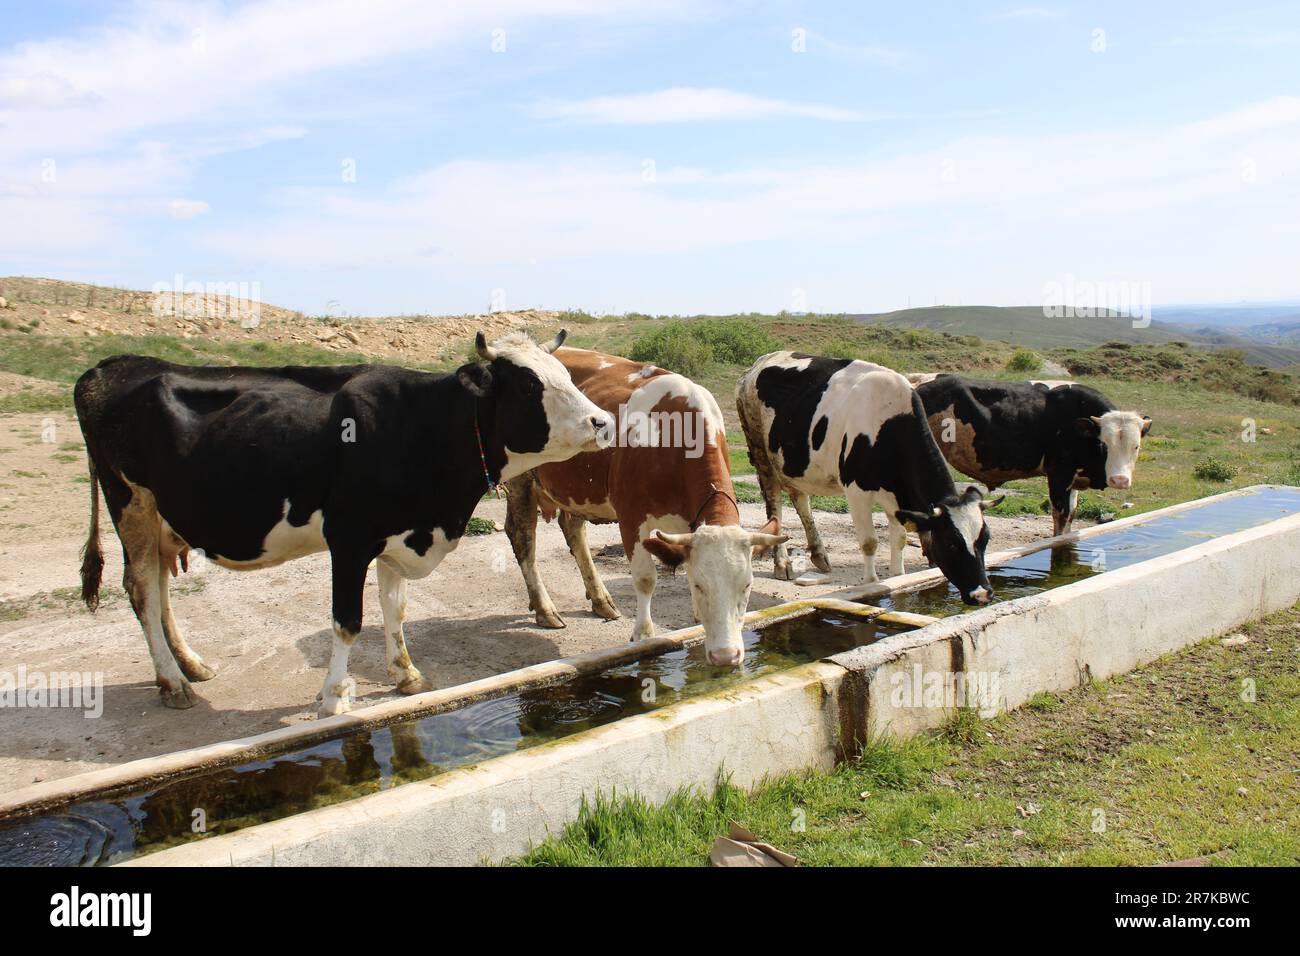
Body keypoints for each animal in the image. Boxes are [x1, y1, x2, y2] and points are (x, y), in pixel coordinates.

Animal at [73, 330, 615, 716]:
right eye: (529, 384)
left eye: (567, 374)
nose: (603, 422)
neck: (424, 426)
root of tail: (110, 366)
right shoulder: (350, 539)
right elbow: (348, 622)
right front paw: (335, 697)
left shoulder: (401, 533)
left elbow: (395, 610)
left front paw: (406, 674)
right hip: (130, 502)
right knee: (142, 589)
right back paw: (172, 681)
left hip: (161, 516)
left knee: (159, 585)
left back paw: (190, 665)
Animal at [504, 347, 786, 666]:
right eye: (701, 585)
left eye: (747, 586)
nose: (727, 656)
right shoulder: (631, 516)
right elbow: (645, 579)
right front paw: (643, 635)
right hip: (520, 478)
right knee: (523, 538)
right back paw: (545, 609)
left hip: (576, 489)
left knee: (573, 530)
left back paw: (600, 600)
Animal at [736, 352, 998, 605]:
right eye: (952, 543)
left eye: (985, 540)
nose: (982, 594)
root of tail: (762, 361)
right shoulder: (857, 490)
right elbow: (870, 542)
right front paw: (871, 584)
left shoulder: (896, 496)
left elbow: (900, 539)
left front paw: (898, 576)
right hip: (761, 452)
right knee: (775, 502)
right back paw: (782, 563)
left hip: (792, 462)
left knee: (800, 498)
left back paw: (819, 554)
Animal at [912, 375, 1151, 535]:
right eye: (1103, 444)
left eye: (1136, 446)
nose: (1120, 480)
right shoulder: (1059, 474)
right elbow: (1061, 515)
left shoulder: (1073, 478)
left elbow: (1072, 514)